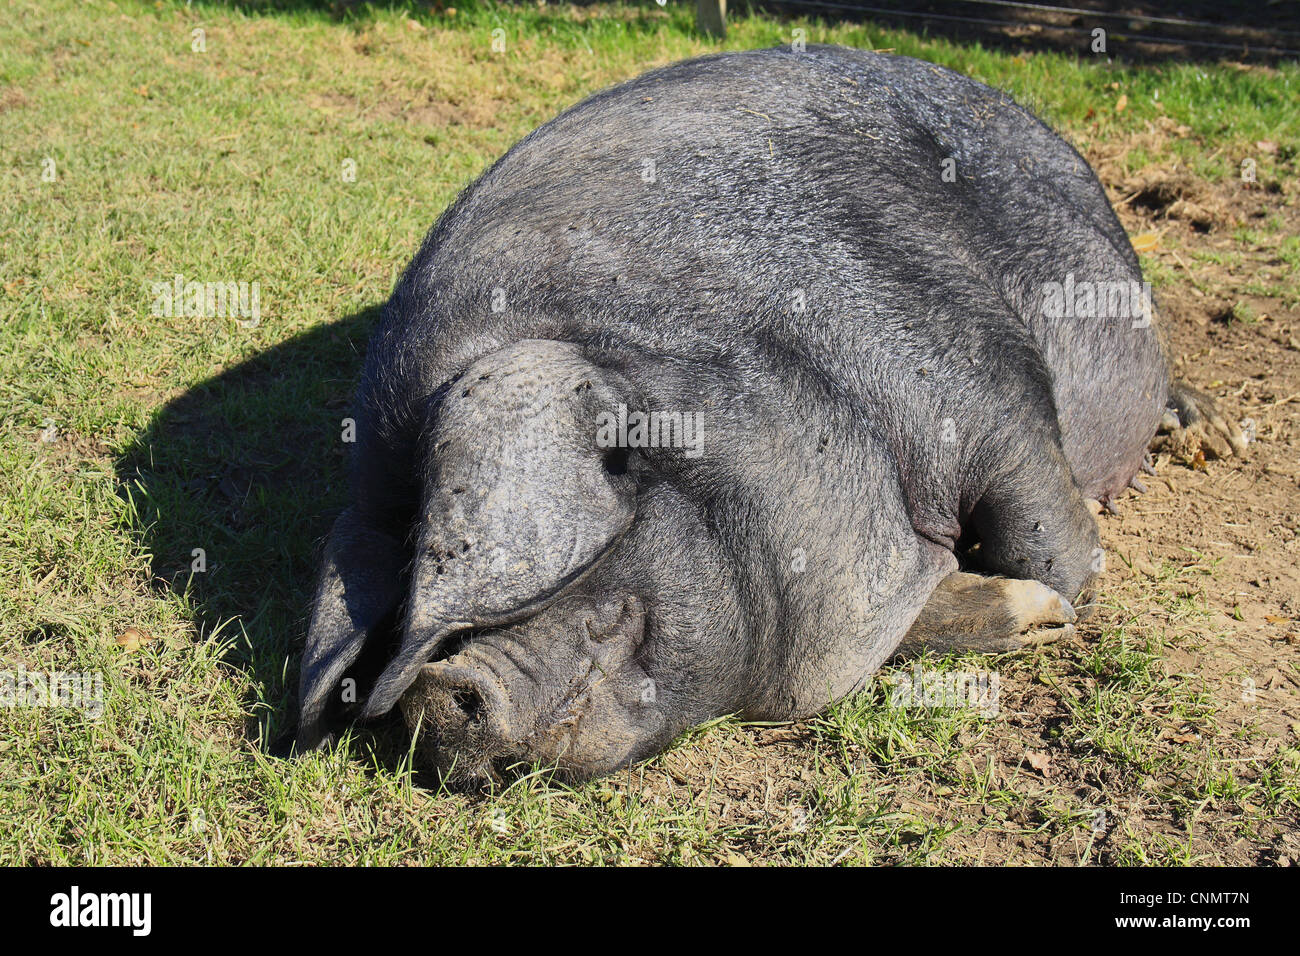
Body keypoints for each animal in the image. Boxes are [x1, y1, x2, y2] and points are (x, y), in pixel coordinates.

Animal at [294, 45, 1243, 785]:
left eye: (619, 491)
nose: (431, 693)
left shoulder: (975, 379)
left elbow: (1052, 545)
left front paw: (1060, 608)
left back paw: (1214, 438)